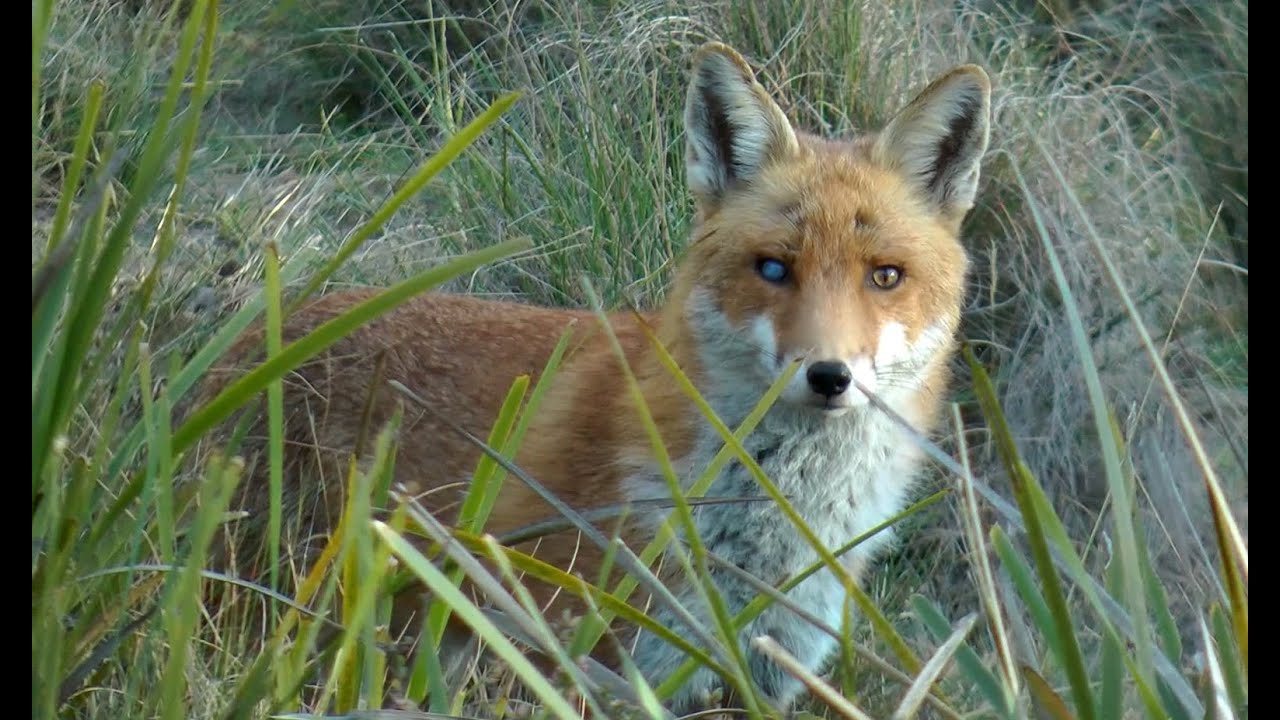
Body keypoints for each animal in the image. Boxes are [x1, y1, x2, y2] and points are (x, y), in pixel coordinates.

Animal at [201, 42, 991, 714]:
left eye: (885, 276)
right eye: (773, 268)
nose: (829, 376)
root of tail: (248, 341)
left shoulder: (763, 676)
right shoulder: (575, 660)